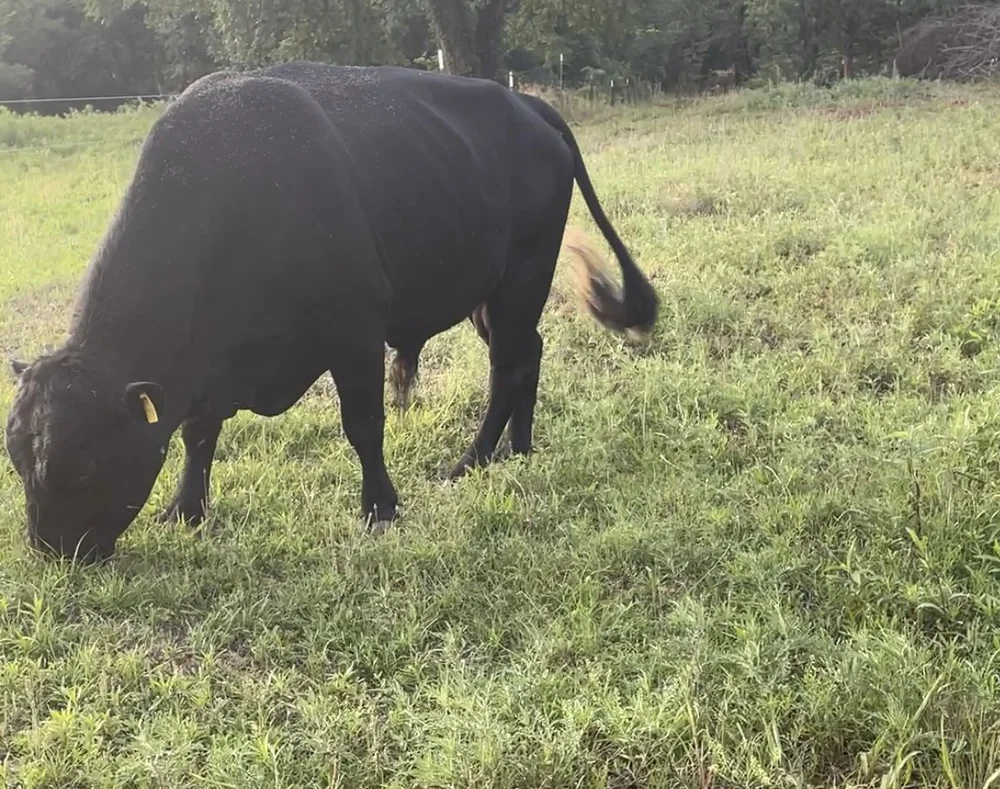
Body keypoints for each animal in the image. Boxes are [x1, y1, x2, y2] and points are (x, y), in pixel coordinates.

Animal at [4, 61, 658, 563]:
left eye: (83, 465)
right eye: (17, 460)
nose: (51, 549)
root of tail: (527, 104)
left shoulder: (355, 333)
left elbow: (363, 424)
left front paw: (380, 508)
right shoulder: (208, 368)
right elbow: (197, 433)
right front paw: (184, 510)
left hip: (523, 274)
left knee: (507, 367)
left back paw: (470, 461)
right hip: (488, 292)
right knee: (529, 352)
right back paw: (518, 448)